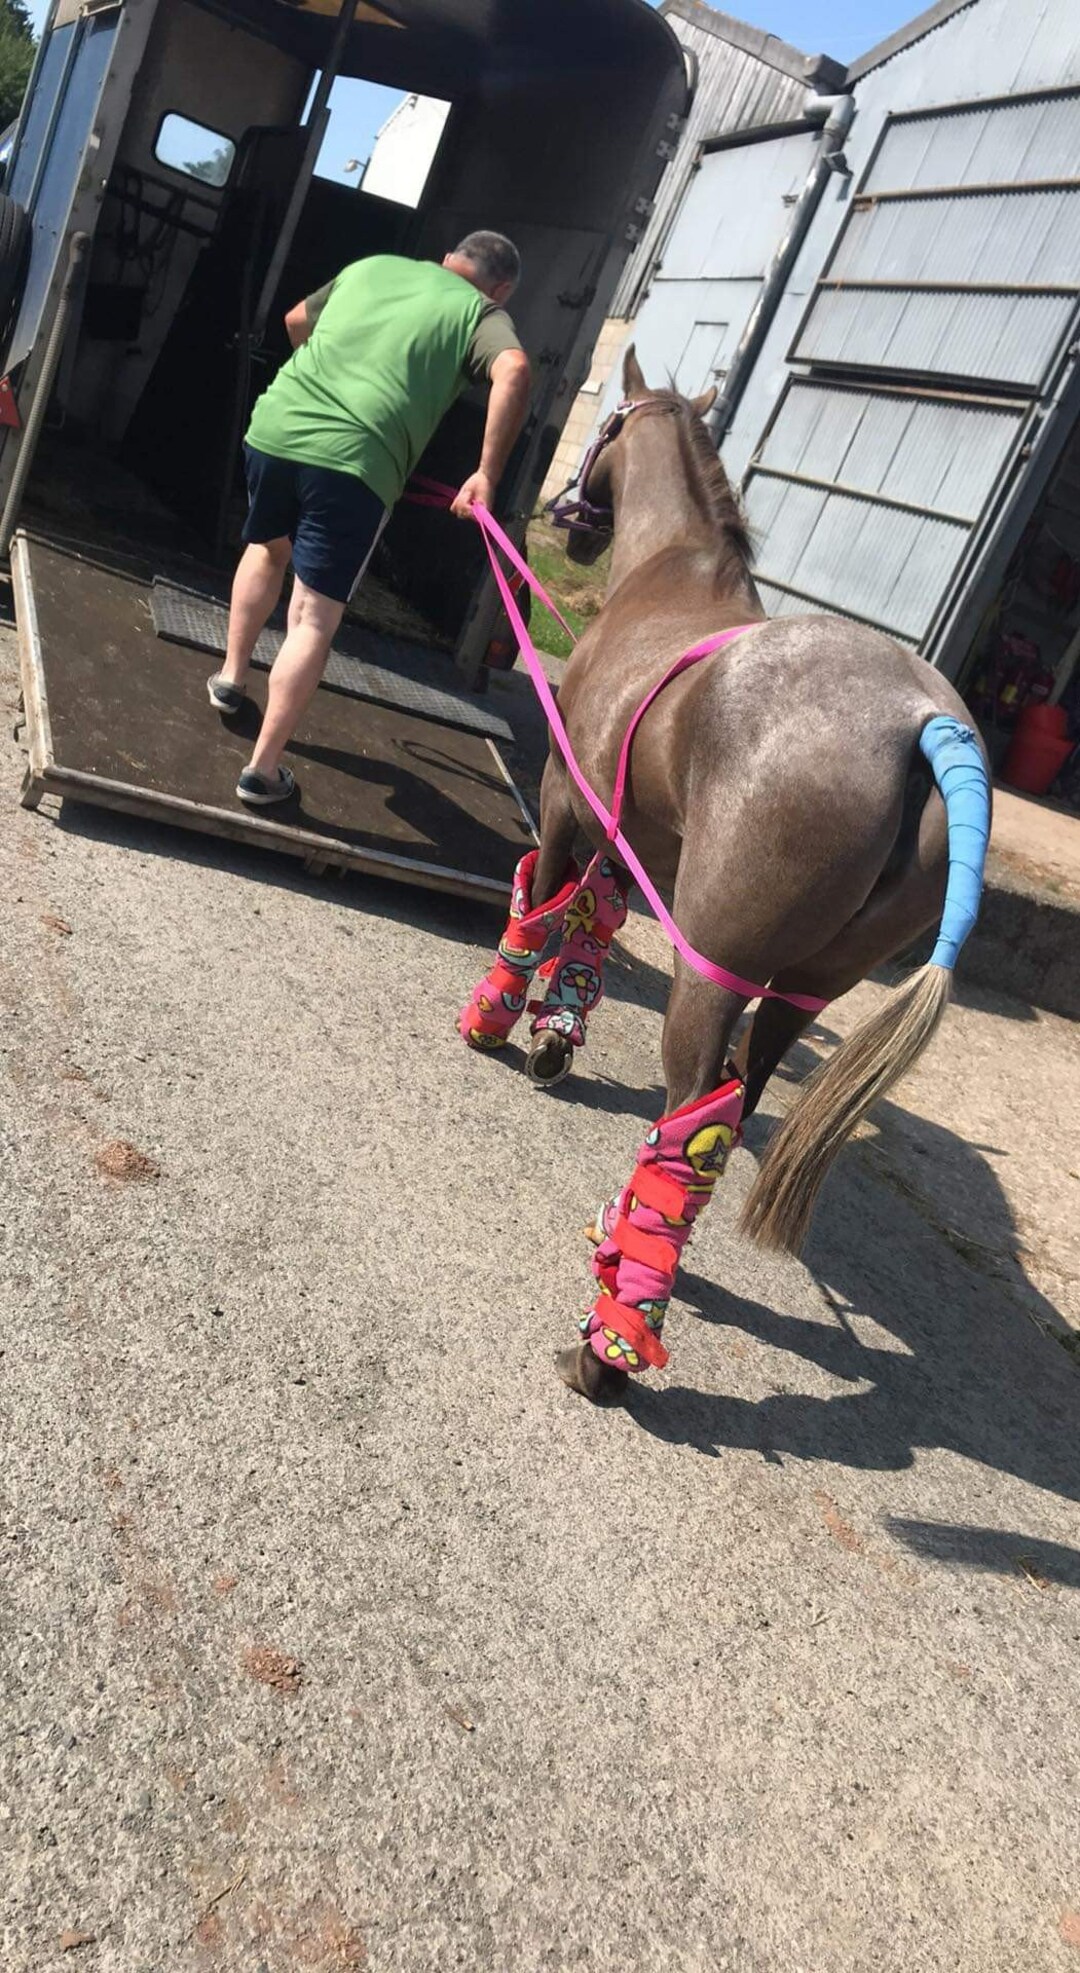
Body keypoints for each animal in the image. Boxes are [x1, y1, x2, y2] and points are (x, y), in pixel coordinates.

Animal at [459, 347, 991, 1404]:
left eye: (607, 419)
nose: (572, 519)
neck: (668, 575)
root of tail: (930, 727)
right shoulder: (637, 842)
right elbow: (594, 924)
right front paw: (555, 1037)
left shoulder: (566, 799)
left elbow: (543, 907)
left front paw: (498, 1022)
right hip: (800, 990)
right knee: (730, 1110)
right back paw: (626, 1244)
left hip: (714, 970)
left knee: (693, 1108)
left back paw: (610, 1343)